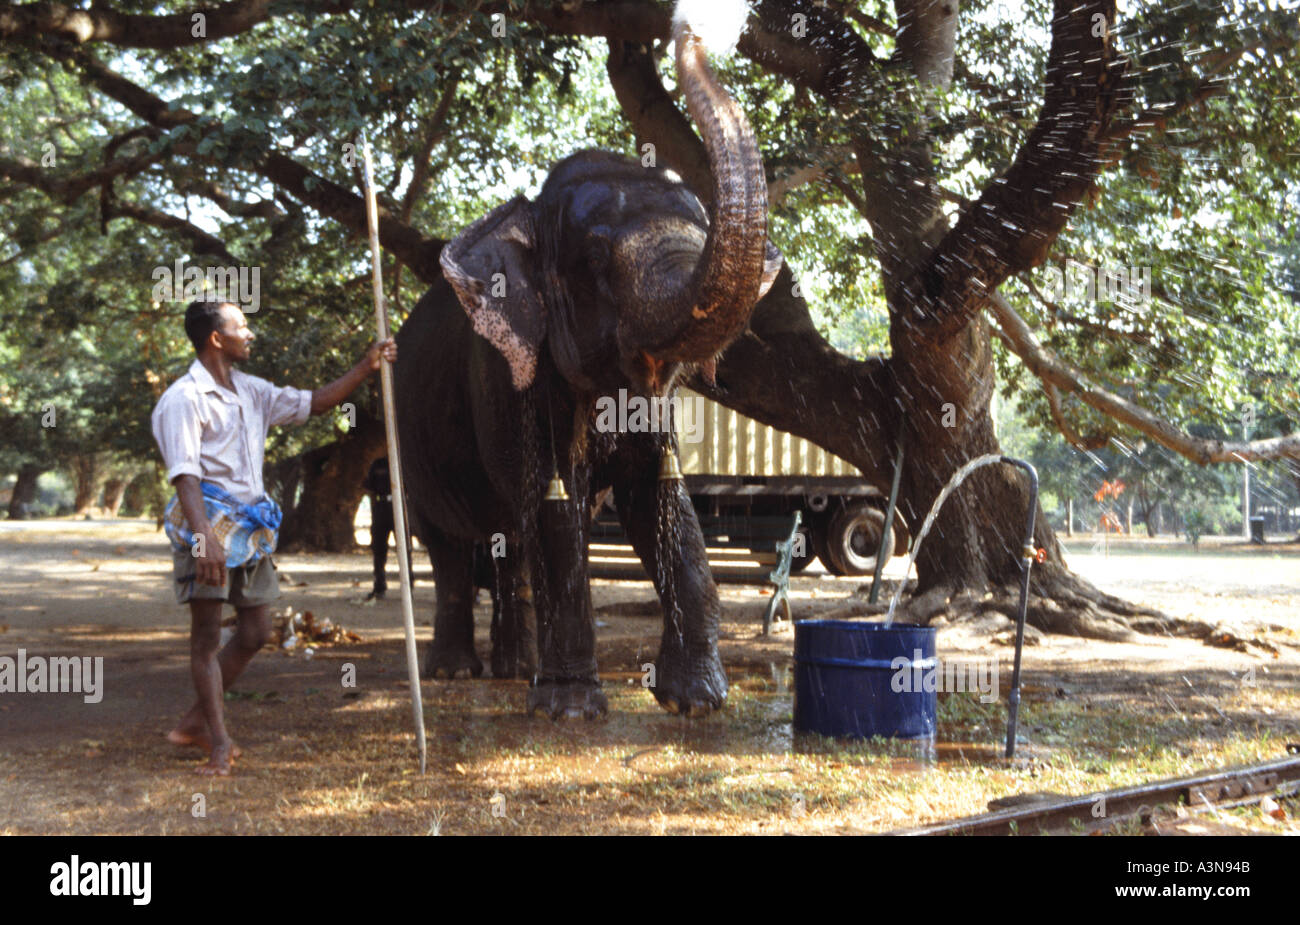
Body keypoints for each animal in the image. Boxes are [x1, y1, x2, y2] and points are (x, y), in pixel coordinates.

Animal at [393, 17, 780, 719]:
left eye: (704, 231)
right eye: (597, 258)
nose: (688, 29)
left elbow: (655, 495)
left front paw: (696, 702)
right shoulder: (509, 377)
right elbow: (559, 504)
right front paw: (571, 709)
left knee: (510, 547)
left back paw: (517, 670)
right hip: (412, 446)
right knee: (449, 547)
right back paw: (456, 673)